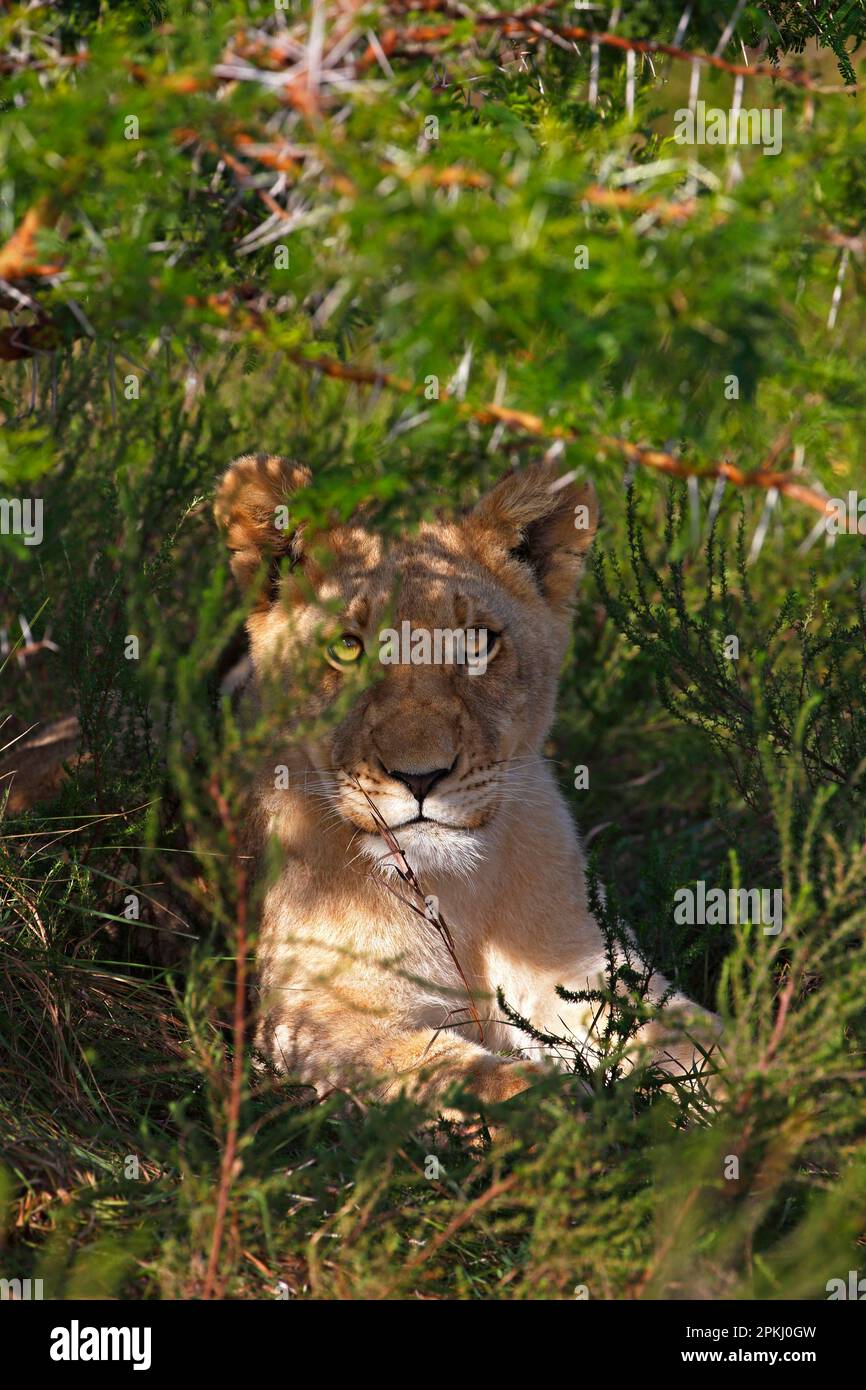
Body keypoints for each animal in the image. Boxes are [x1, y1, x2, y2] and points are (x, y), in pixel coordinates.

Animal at [214, 454, 720, 1109]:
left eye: (477, 643)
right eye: (347, 648)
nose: (421, 775)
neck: (457, 895)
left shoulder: (584, 965)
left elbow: (696, 1038)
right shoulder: (323, 1009)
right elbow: (465, 1077)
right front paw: (569, 1114)